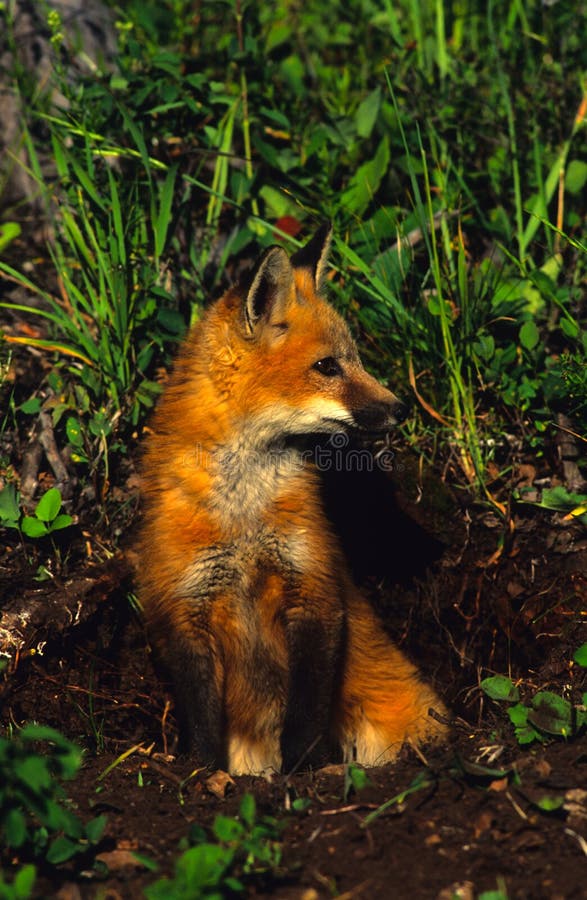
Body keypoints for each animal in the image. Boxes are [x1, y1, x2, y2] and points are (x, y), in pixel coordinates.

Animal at [136, 223, 447, 775]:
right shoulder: (183, 609)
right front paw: (204, 773)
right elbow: (202, 722)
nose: (402, 409)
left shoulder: (314, 590)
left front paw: (303, 769)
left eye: (356, 359)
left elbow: (308, 710)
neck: (244, 516)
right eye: (327, 366)